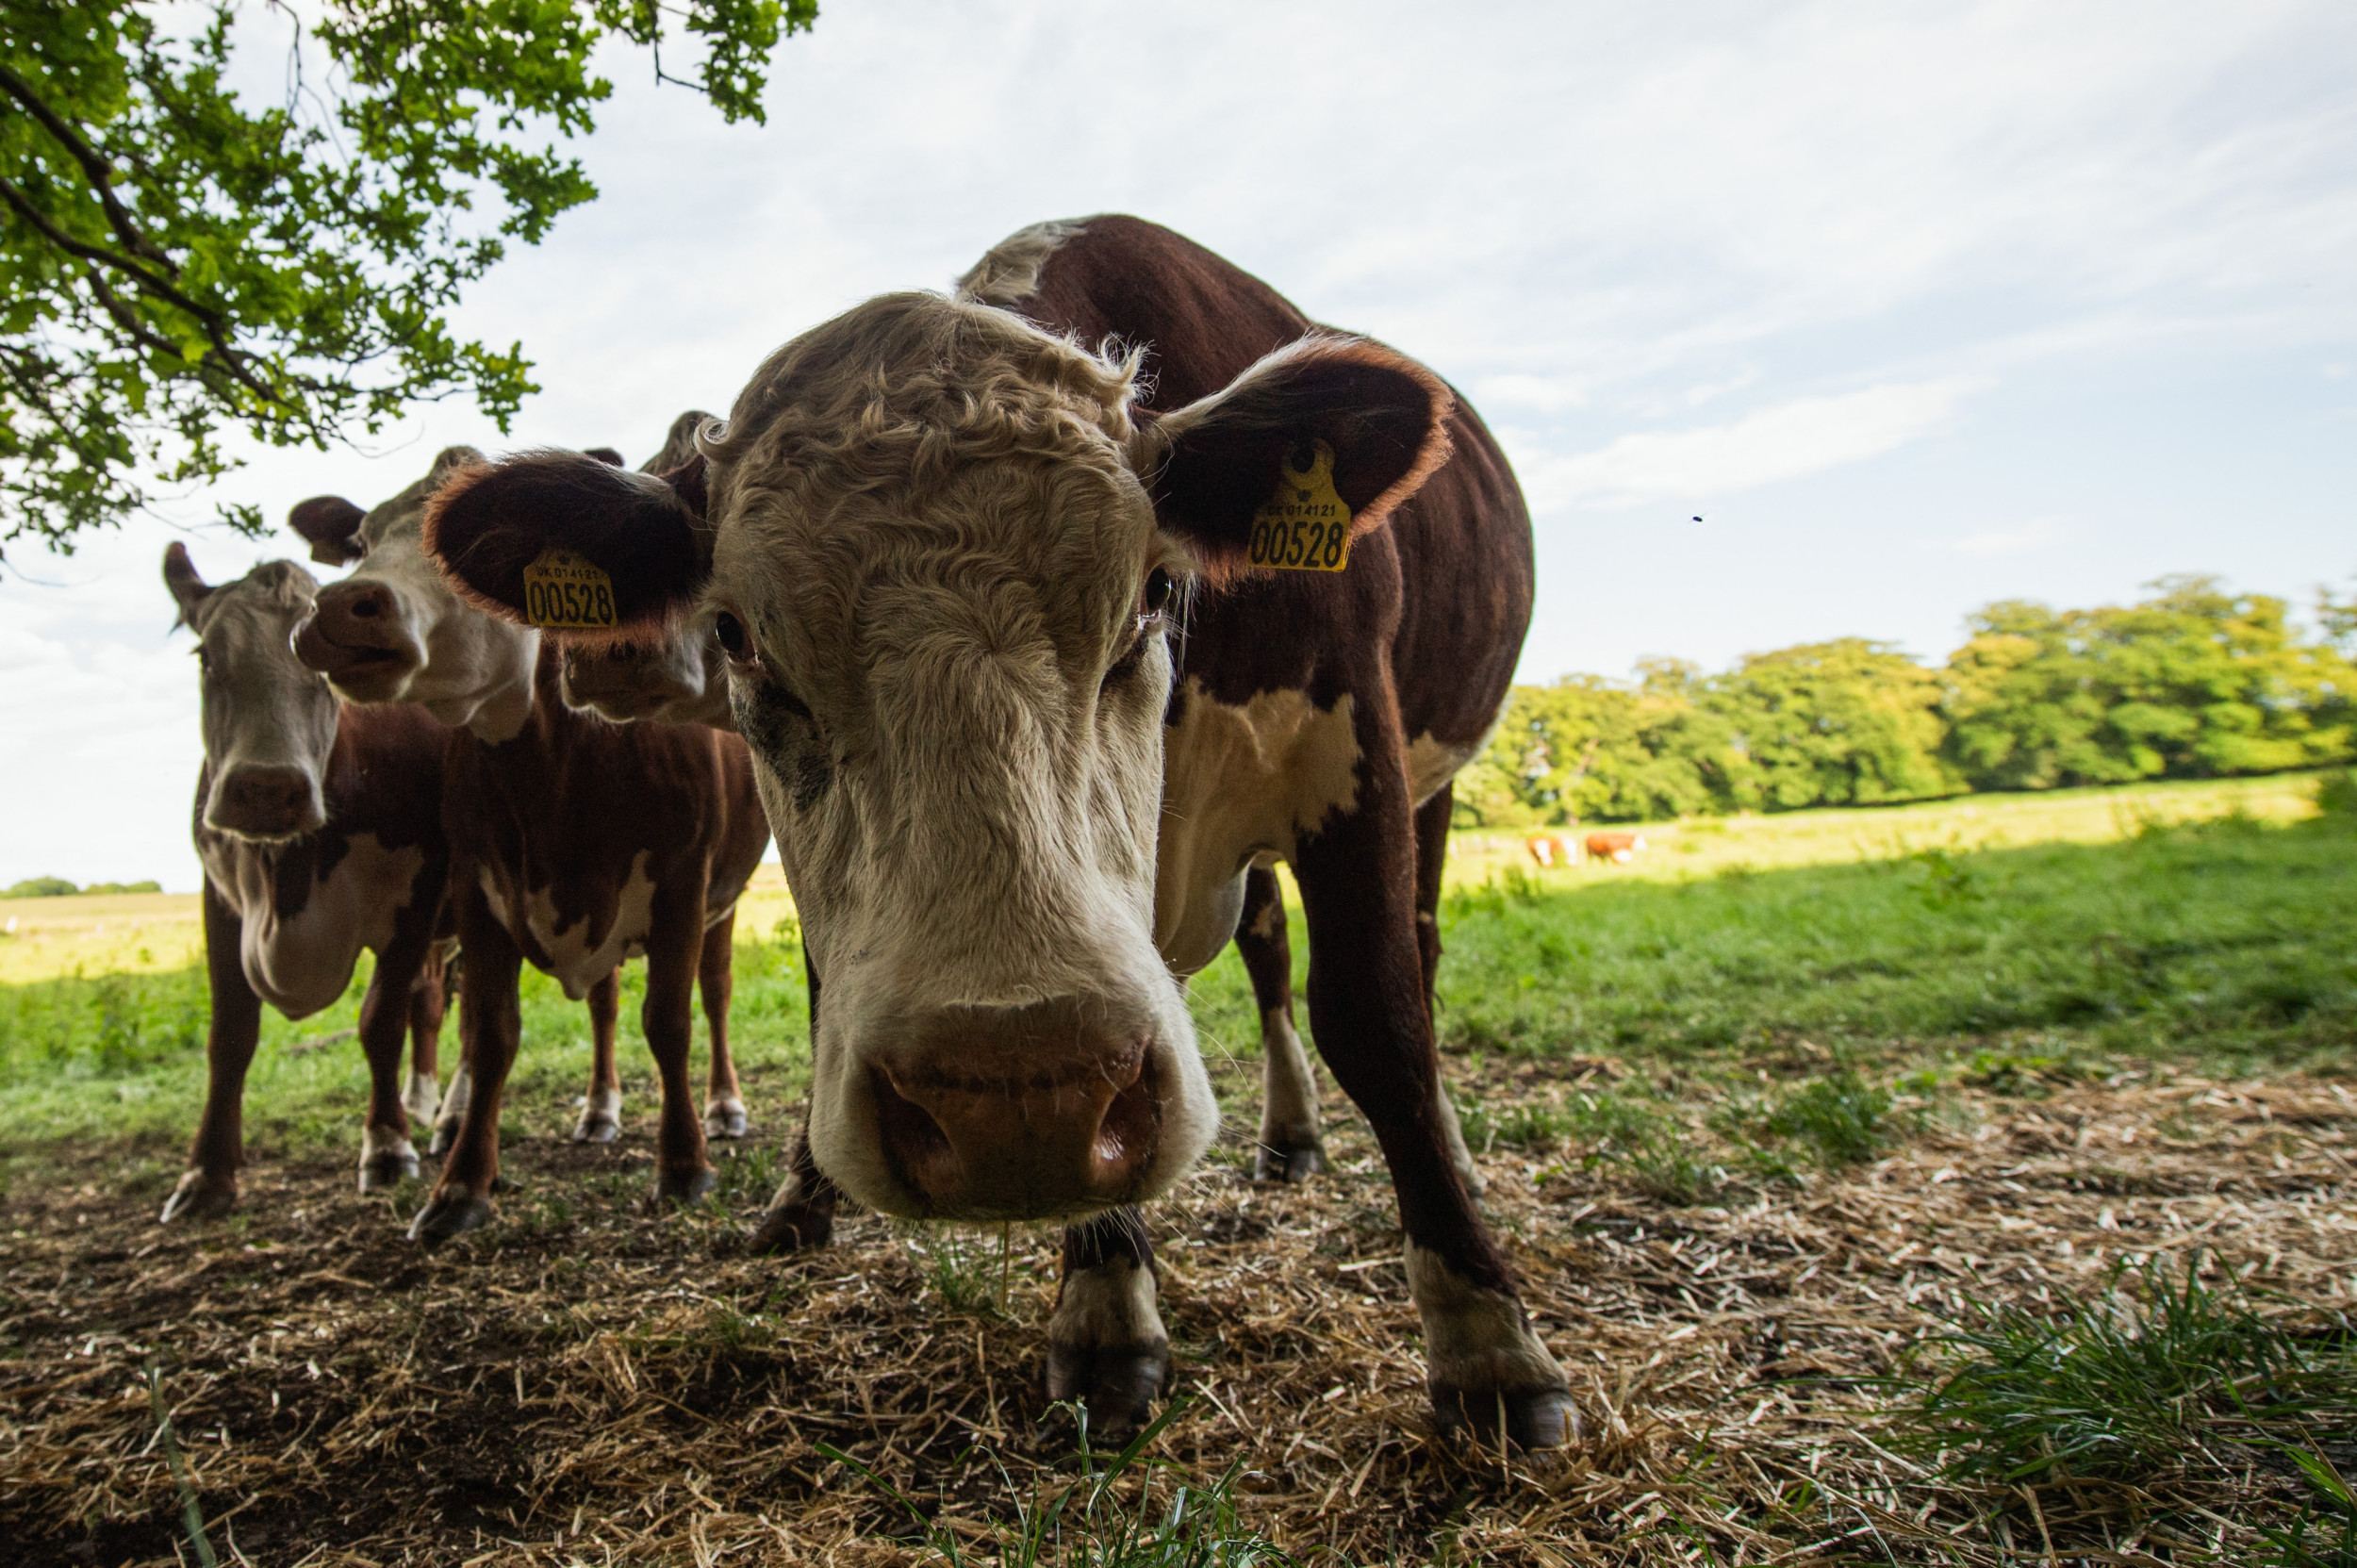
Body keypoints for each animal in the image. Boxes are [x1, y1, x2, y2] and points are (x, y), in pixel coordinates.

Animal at [161, 546, 453, 1219]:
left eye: (327, 669)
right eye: (206, 657)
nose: (267, 789)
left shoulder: (419, 896)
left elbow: (380, 1021)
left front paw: (386, 1145)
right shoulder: (220, 898)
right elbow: (230, 1035)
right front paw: (206, 1173)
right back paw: (427, 1103)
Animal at [287, 433, 771, 1241]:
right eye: (362, 541)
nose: (338, 609)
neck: (554, 775)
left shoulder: (682, 876)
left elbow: (670, 1020)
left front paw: (683, 1162)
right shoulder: (479, 886)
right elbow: (491, 1036)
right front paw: (459, 1186)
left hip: (723, 900)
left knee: (716, 992)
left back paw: (724, 1106)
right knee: (604, 1003)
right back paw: (599, 1110)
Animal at [421, 216, 1569, 1446]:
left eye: (1157, 591)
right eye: (734, 633)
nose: (1016, 1102)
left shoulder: (1357, 753)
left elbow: (1379, 1022)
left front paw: (1489, 1339)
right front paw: (1107, 1304)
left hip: (1431, 781)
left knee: (1408, 961)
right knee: (1266, 952)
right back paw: (1286, 1137)